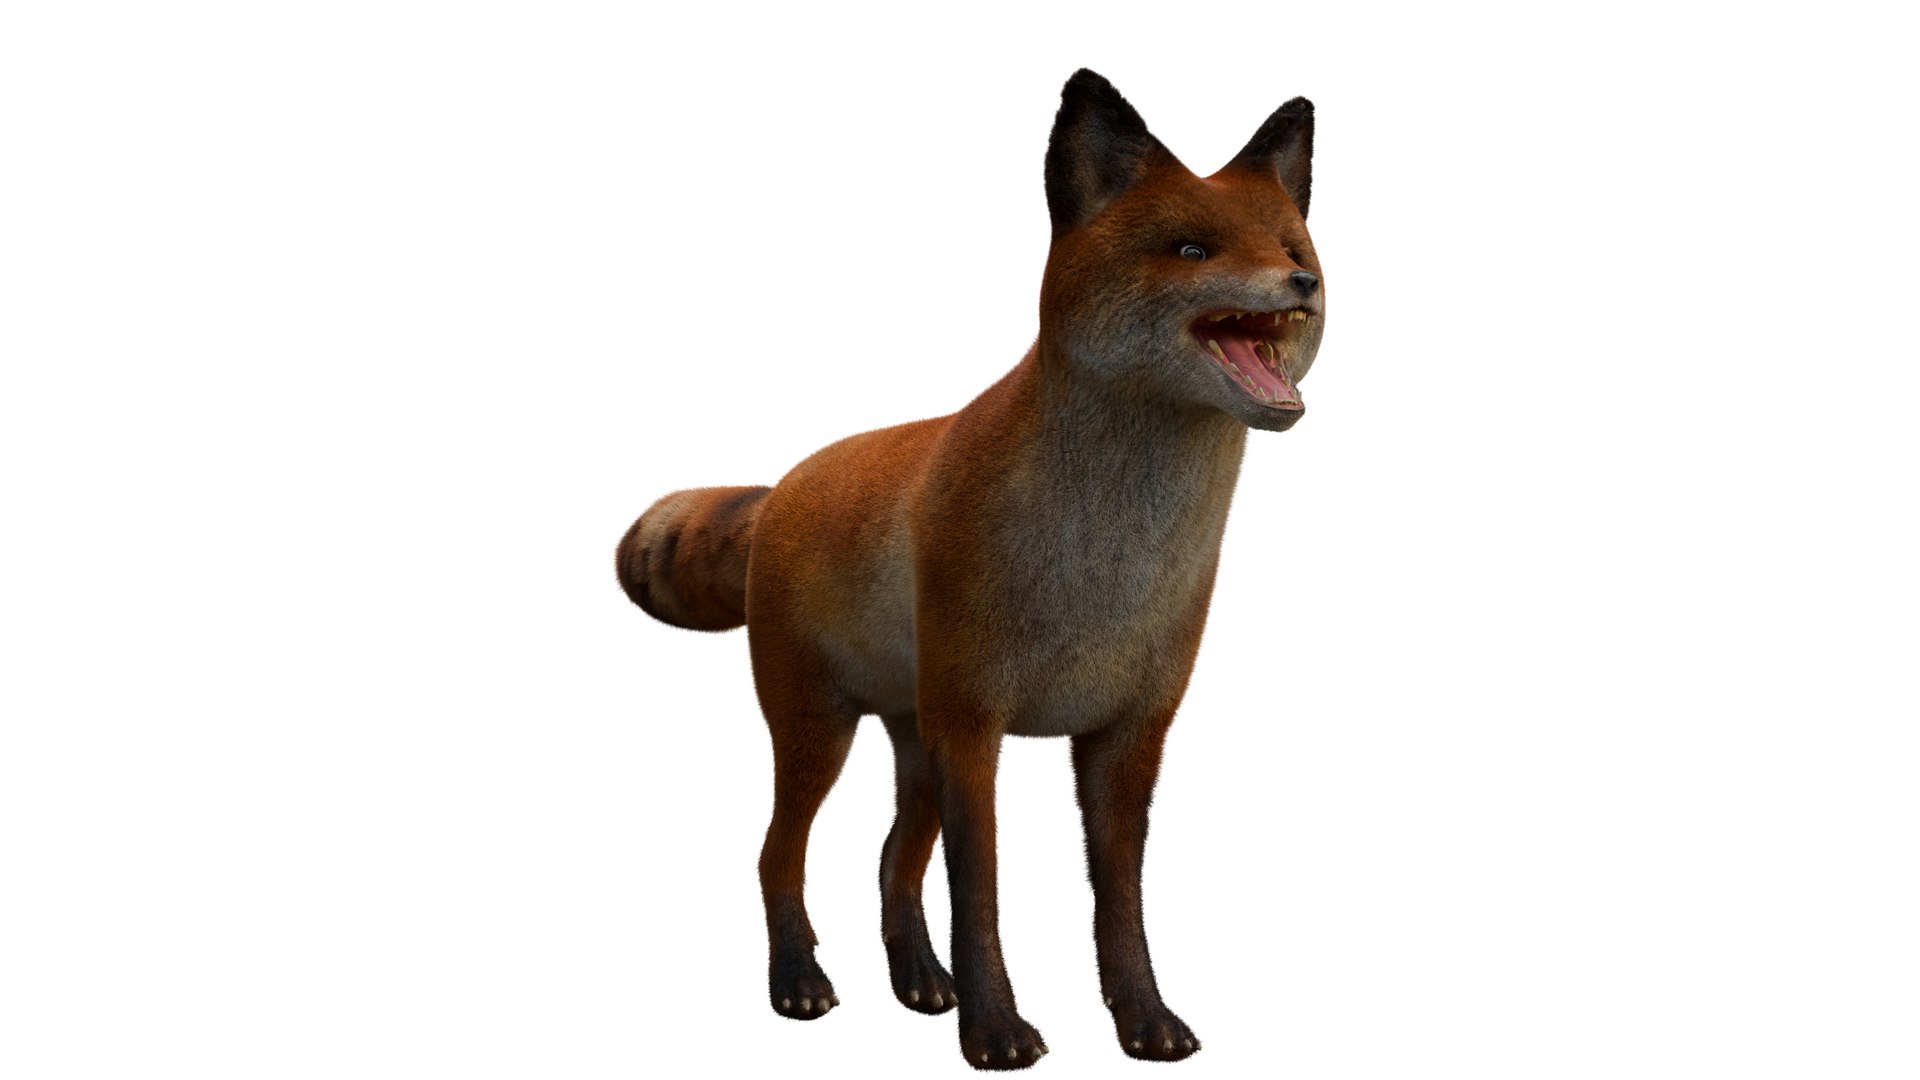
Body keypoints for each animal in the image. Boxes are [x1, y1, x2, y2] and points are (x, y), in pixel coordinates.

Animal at [616, 69, 1325, 1070]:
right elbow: (980, 894)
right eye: (1192, 248)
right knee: (776, 855)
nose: (1303, 284)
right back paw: (798, 984)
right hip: (820, 732)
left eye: (1292, 247)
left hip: (912, 743)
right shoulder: (974, 725)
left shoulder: (1127, 736)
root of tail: (786, 484)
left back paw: (919, 982)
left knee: (889, 860)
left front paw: (1144, 1022)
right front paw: (996, 1033)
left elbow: (1121, 905)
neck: (1105, 573)